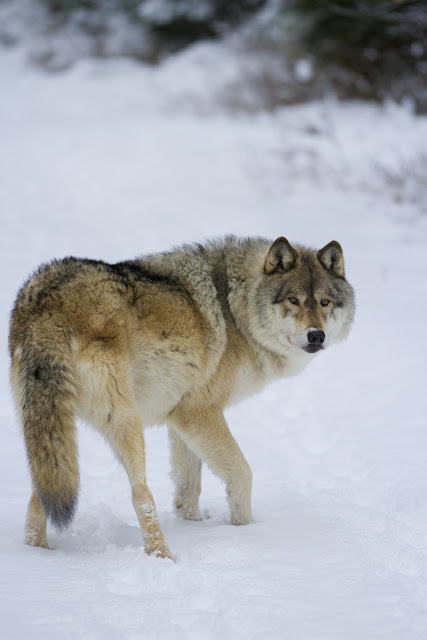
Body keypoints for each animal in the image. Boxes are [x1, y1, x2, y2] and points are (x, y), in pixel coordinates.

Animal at [9, 236, 354, 560]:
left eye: (324, 302)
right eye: (293, 300)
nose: (316, 336)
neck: (236, 310)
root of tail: (45, 302)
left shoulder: (180, 419)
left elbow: (189, 490)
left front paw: (195, 526)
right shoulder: (199, 413)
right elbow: (242, 474)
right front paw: (245, 532)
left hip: (51, 435)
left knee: (41, 496)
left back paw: (38, 556)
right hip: (125, 421)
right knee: (140, 492)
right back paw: (164, 557)